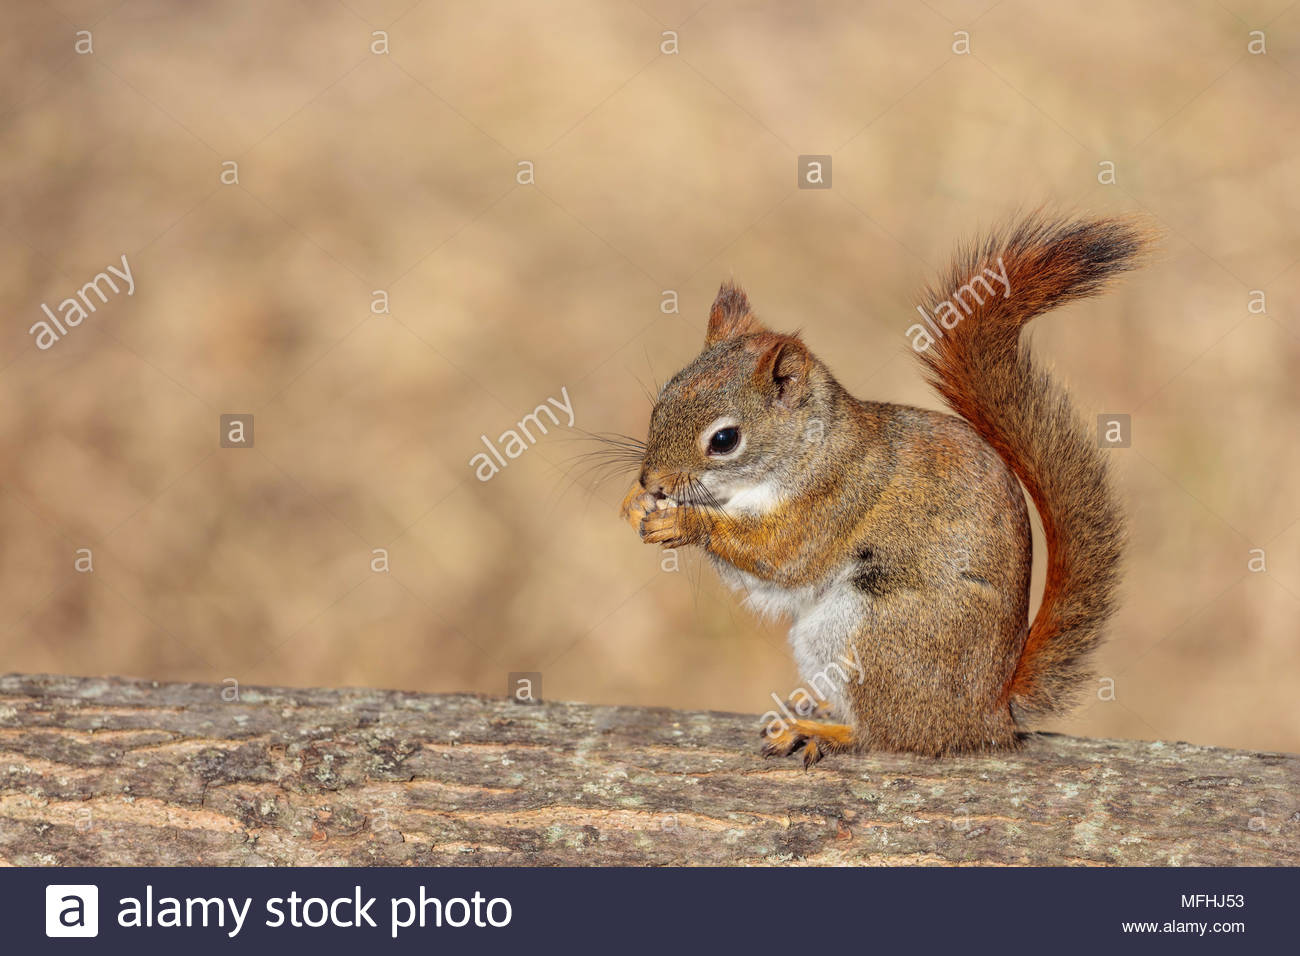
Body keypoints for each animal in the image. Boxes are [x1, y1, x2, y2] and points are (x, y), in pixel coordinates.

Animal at [619, 214, 1151, 764]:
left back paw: (821, 732)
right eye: (661, 400)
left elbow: (777, 555)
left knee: (888, 735)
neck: (806, 451)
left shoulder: (833, 501)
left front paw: (682, 520)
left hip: (870, 637)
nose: (650, 480)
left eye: (724, 440)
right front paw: (636, 505)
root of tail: (989, 715)